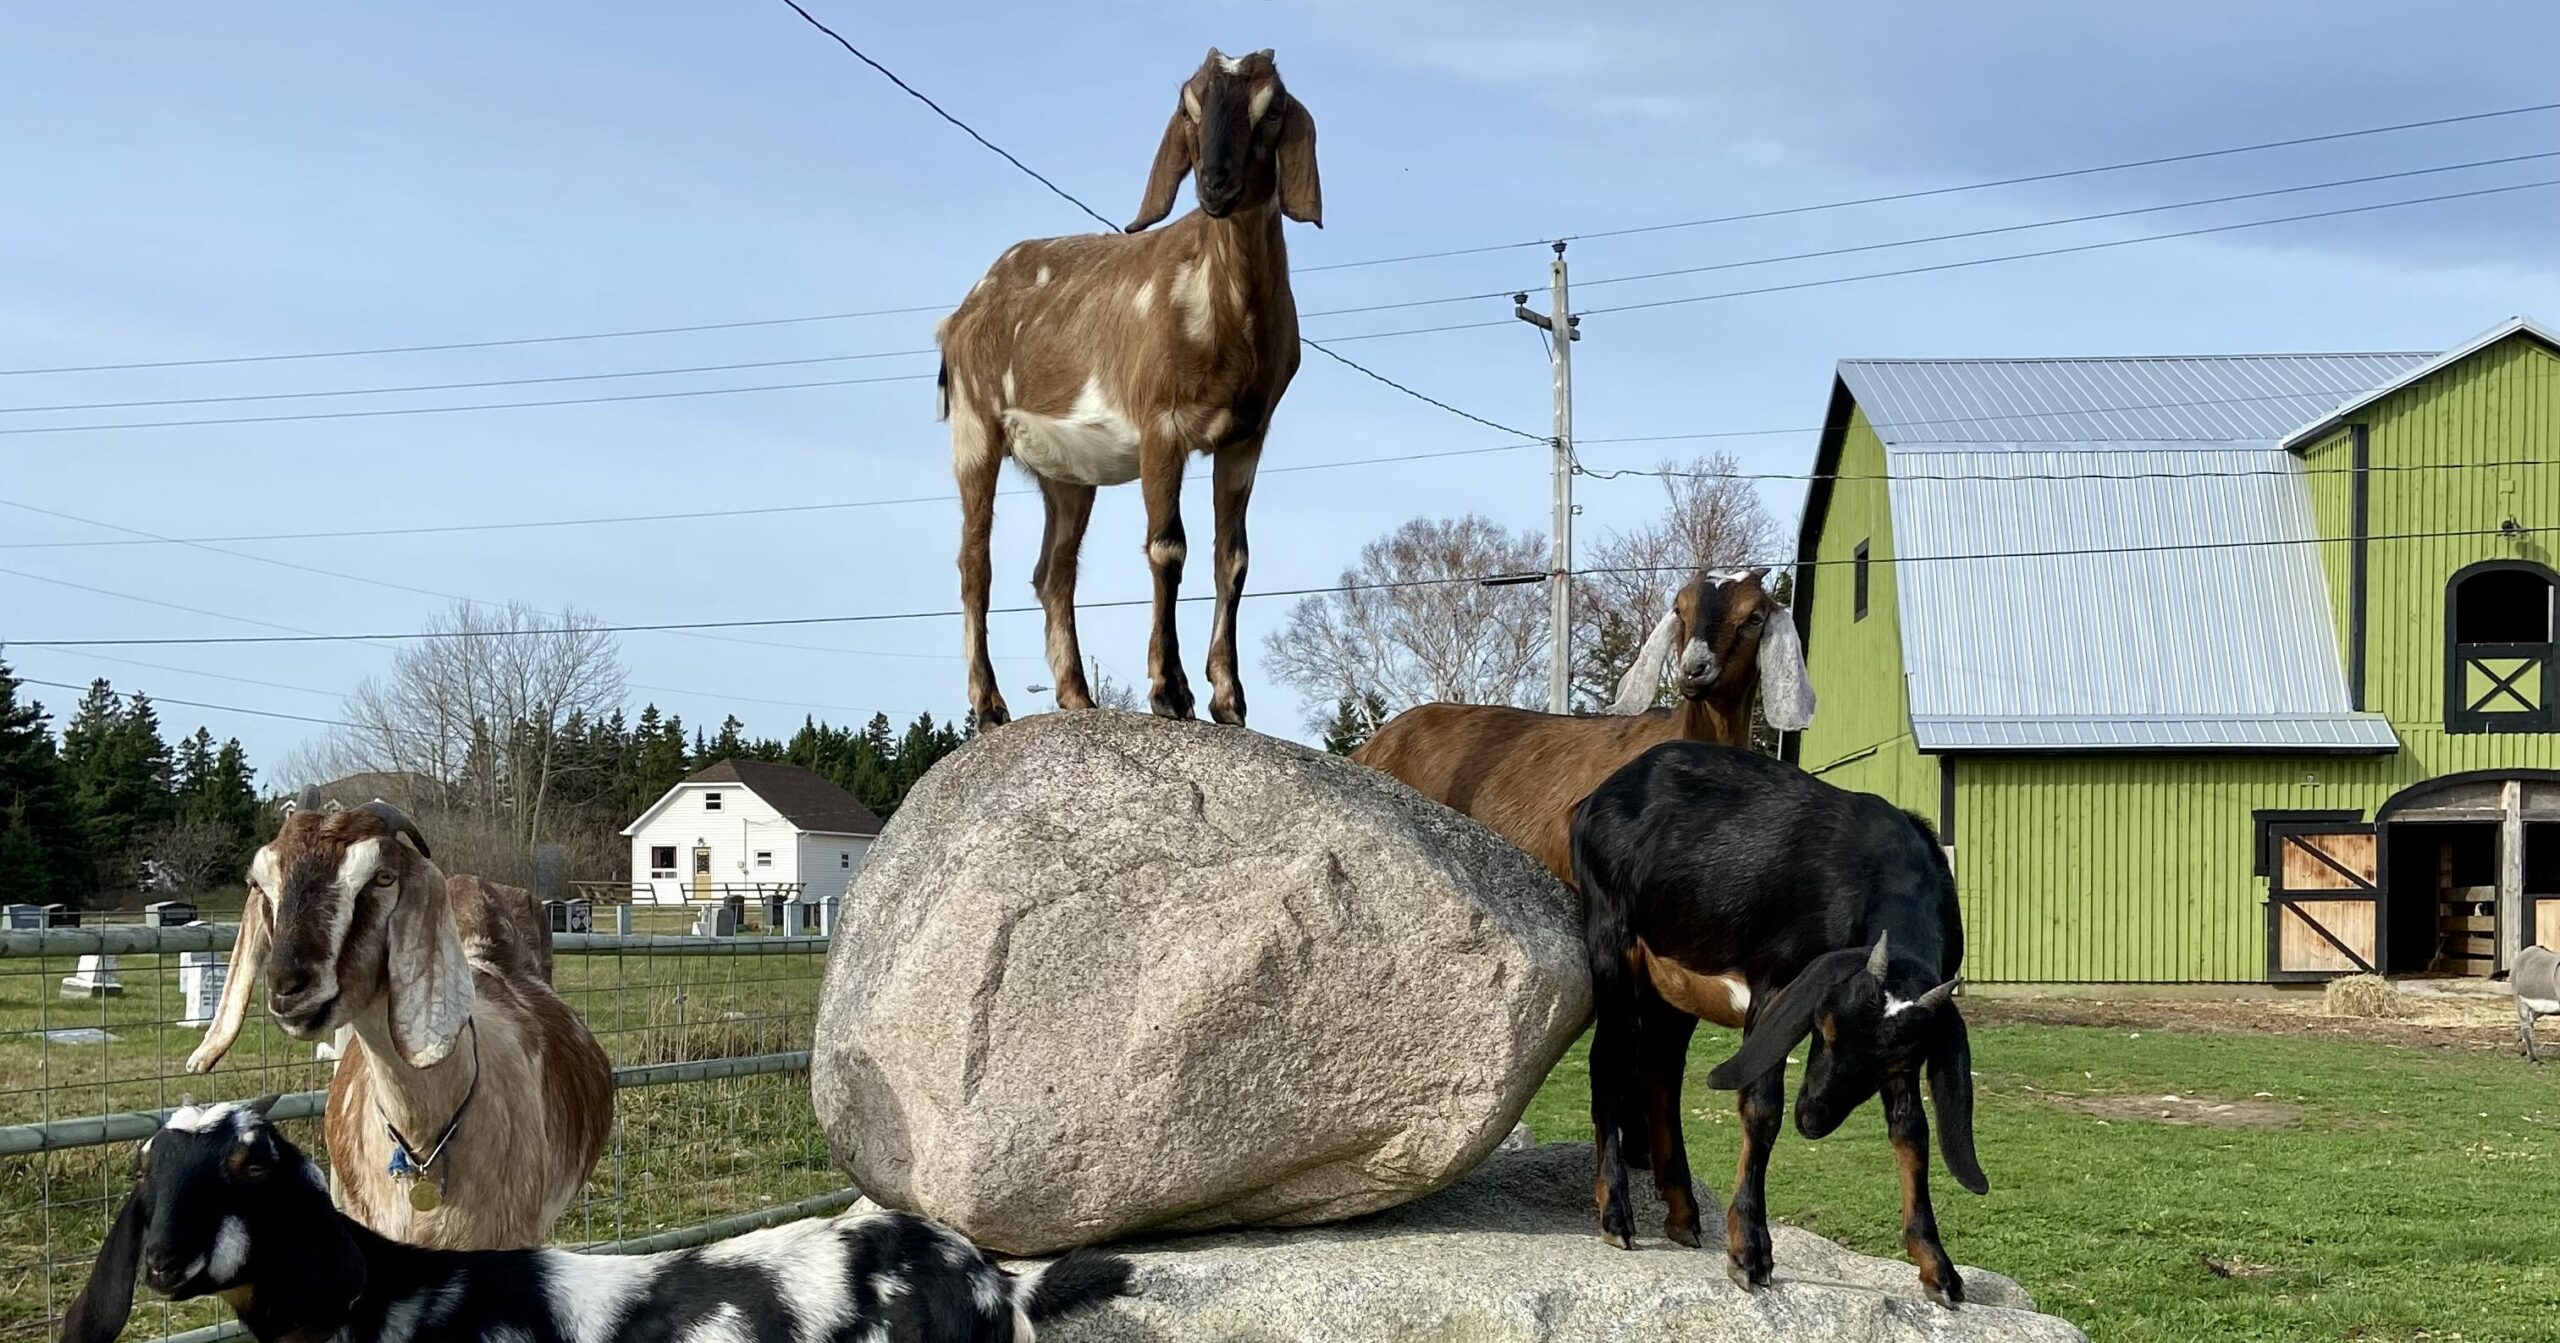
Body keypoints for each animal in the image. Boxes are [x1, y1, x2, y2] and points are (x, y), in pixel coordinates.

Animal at [938, 47, 1320, 729]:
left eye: (1272, 108)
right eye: (1189, 105)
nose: (1216, 184)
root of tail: (961, 315)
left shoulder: (1246, 436)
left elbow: (1234, 558)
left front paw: (1229, 699)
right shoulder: (1161, 426)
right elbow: (1168, 547)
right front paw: (1170, 691)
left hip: (1066, 474)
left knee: (1054, 572)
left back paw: (1076, 696)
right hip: (975, 429)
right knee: (974, 562)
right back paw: (989, 705)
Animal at [1571, 741, 1985, 1306]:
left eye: (1897, 1063)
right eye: (1825, 1028)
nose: (1811, 1118)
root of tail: (1600, 795)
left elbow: (1911, 1130)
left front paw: (1937, 1267)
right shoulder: (1773, 987)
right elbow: (1761, 1108)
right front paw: (1749, 1251)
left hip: (1673, 978)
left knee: (1660, 1067)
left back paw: (1682, 1212)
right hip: (1613, 942)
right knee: (1609, 1062)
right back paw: (1616, 1214)